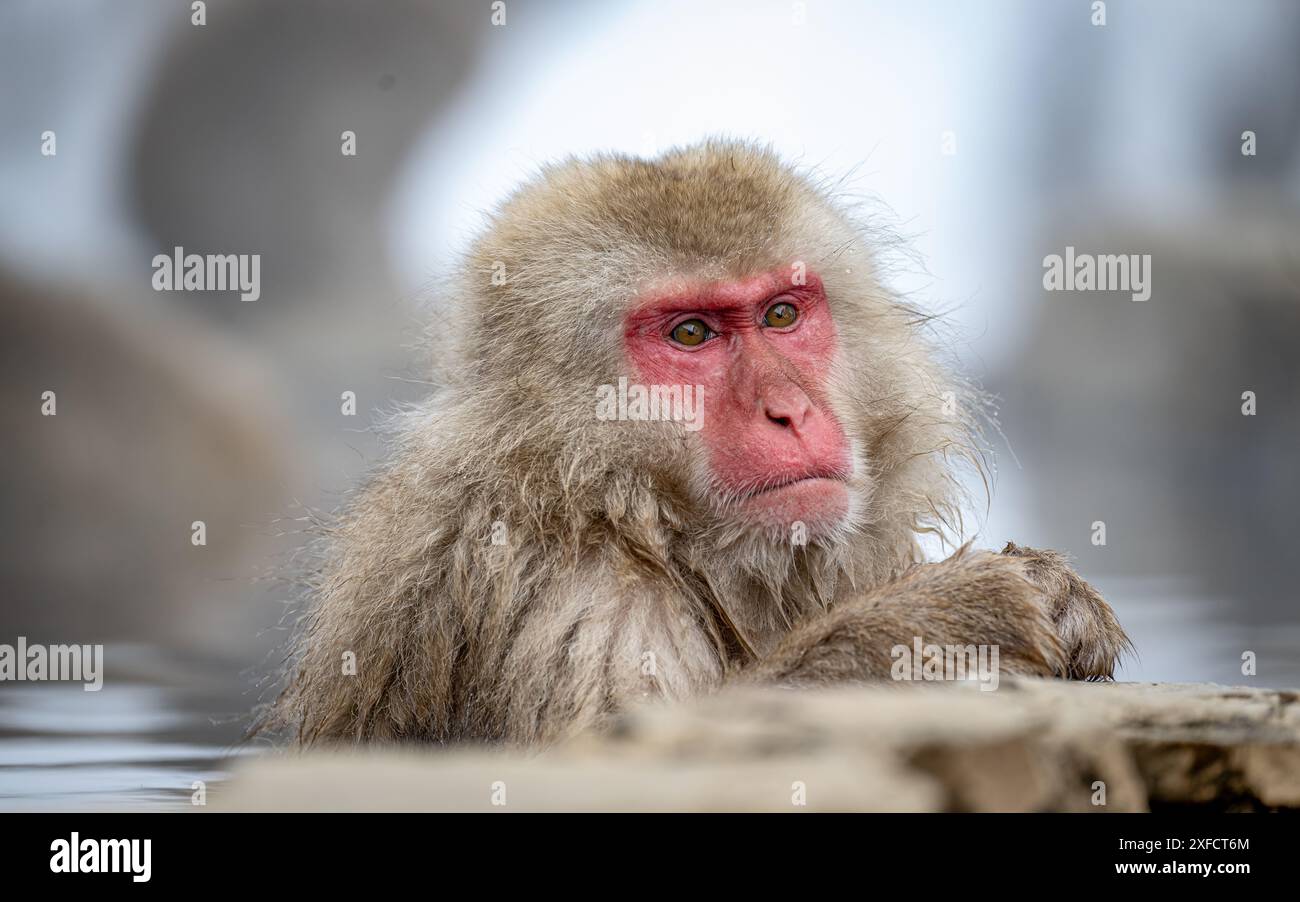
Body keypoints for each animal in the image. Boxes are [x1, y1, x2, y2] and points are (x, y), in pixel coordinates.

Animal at [265, 140, 1131, 748]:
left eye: (782, 313)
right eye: (690, 334)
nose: (789, 410)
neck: (626, 507)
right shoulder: (573, 597)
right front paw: (957, 615)